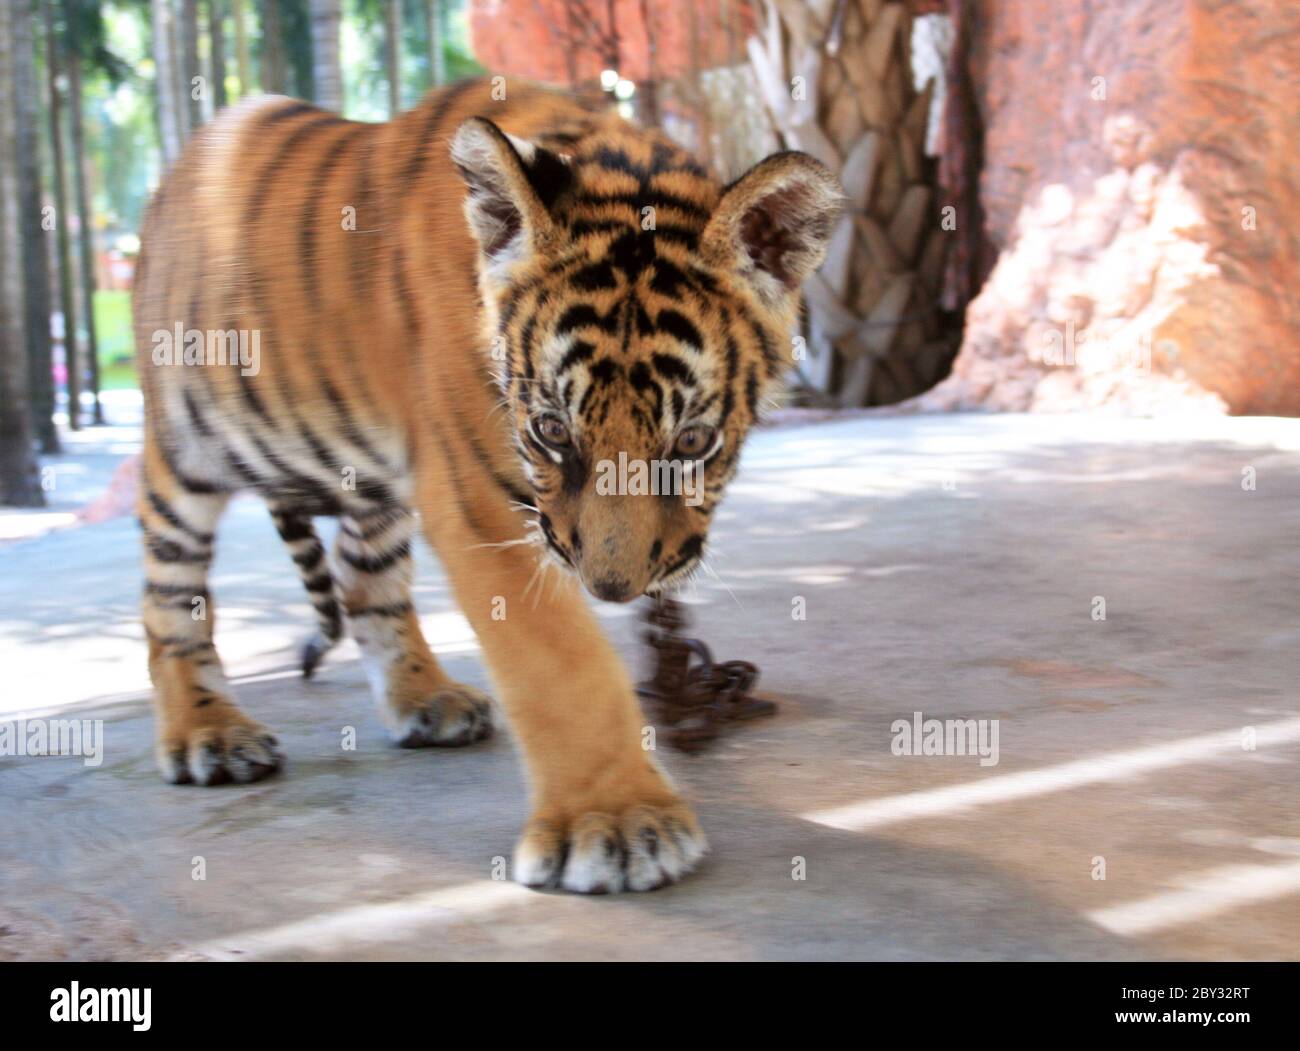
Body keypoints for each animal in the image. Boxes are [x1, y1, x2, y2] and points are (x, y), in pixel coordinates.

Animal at [133, 76, 842, 894]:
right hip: (184, 454)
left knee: (366, 579)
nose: (614, 588)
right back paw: (208, 733)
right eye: (553, 431)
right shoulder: (480, 498)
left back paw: (424, 698)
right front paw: (619, 824)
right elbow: (560, 660)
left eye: (692, 442)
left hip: (372, 487)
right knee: (168, 598)